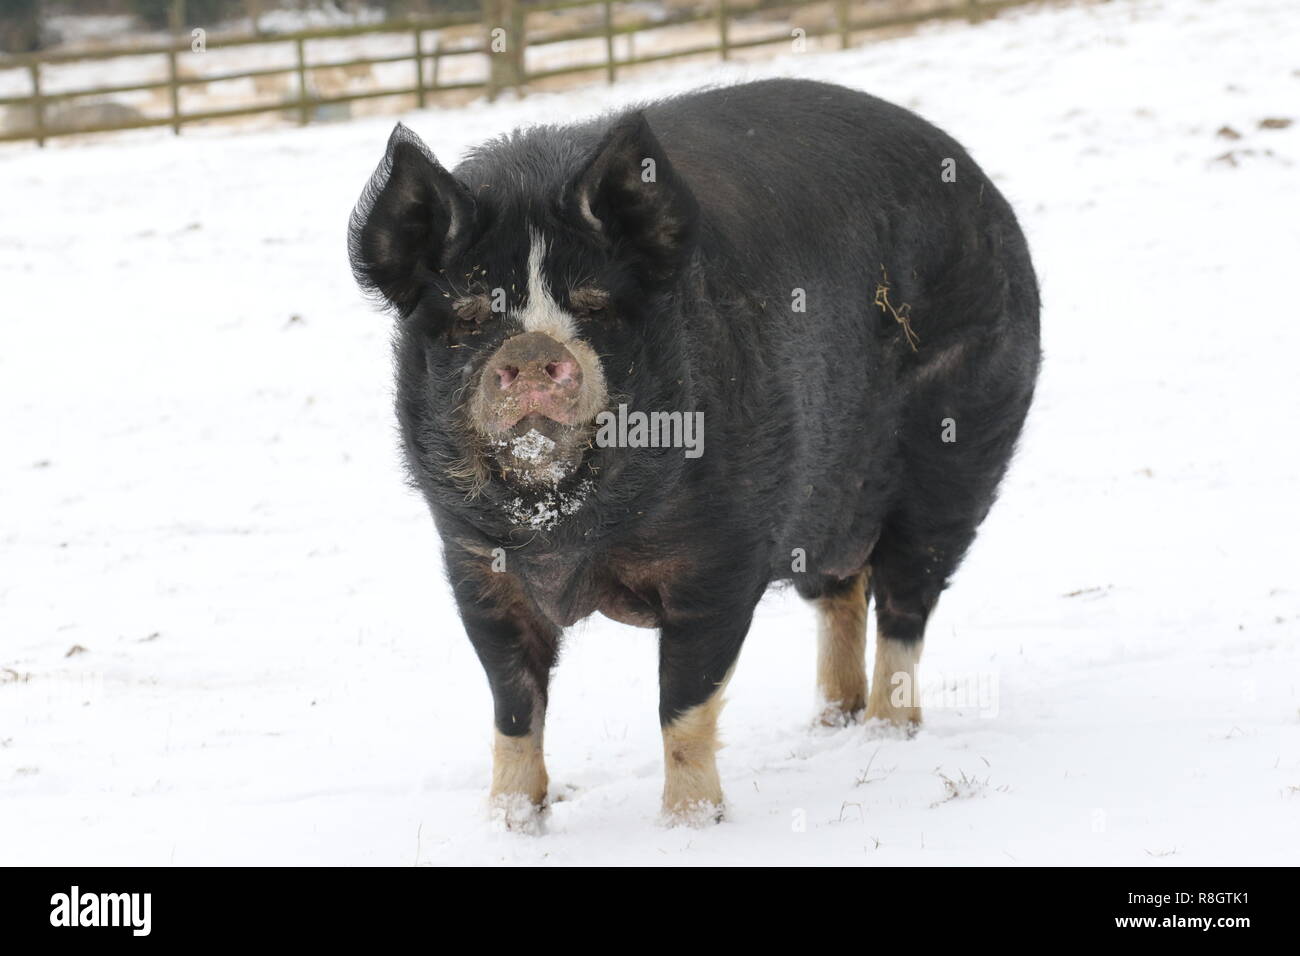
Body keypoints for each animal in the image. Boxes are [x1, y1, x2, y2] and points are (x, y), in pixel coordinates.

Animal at [348, 78, 1040, 827]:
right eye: (471, 315)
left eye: (595, 305)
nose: (532, 350)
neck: (566, 531)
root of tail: (983, 190)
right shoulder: (474, 562)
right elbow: (512, 706)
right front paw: (510, 824)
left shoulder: (721, 557)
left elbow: (683, 701)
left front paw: (691, 823)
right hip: (831, 501)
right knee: (843, 594)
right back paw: (831, 722)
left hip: (957, 458)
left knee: (907, 600)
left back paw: (887, 733)